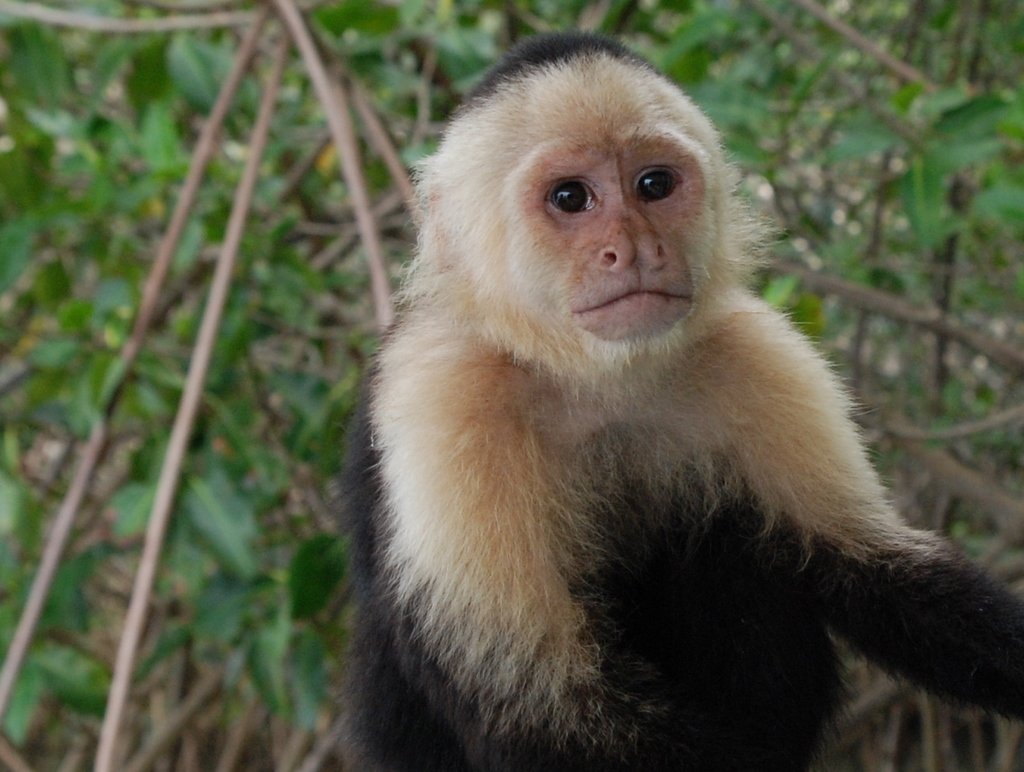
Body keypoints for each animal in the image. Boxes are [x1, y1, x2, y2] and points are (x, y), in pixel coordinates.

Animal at [337, 31, 1024, 771]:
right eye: (570, 197)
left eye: (654, 185)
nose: (636, 249)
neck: (598, 377)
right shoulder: (446, 394)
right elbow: (536, 698)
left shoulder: (758, 356)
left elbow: (871, 566)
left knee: (736, 530)